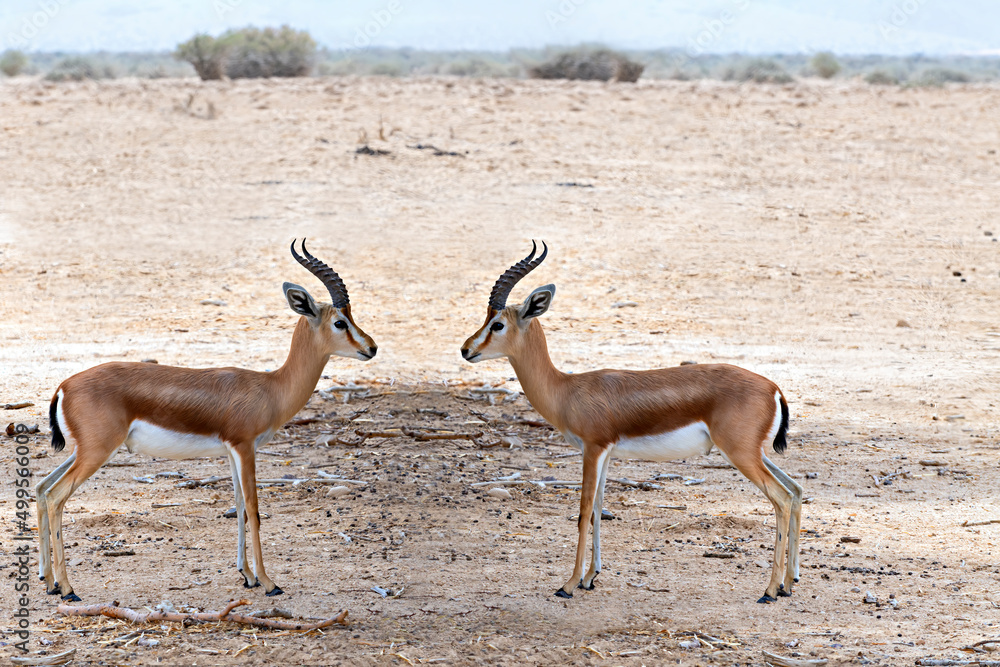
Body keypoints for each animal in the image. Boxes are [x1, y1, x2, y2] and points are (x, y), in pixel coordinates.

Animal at [37, 240, 377, 601]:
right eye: (340, 322)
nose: (372, 348)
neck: (271, 387)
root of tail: (63, 386)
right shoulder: (245, 447)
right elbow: (253, 509)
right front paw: (269, 582)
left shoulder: (230, 451)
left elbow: (238, 505)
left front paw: (247, 576)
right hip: (96, 452)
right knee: (56, 497)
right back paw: (68, 589)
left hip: (83, 451)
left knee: (41, 488)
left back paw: (49, 581)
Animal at [461, 242, 803, 602]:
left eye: (498, 324)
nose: (465, 350)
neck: (566, 389)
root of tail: (774, 388)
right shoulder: (606, 454)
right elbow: (599, 508)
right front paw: (590, 578)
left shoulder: (592, 449)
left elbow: (584, 511)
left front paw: (568, 584)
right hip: (754, 453)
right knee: (796, 490)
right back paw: (789, 583)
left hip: (741, 454)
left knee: (781, 498)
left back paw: (770, 590)